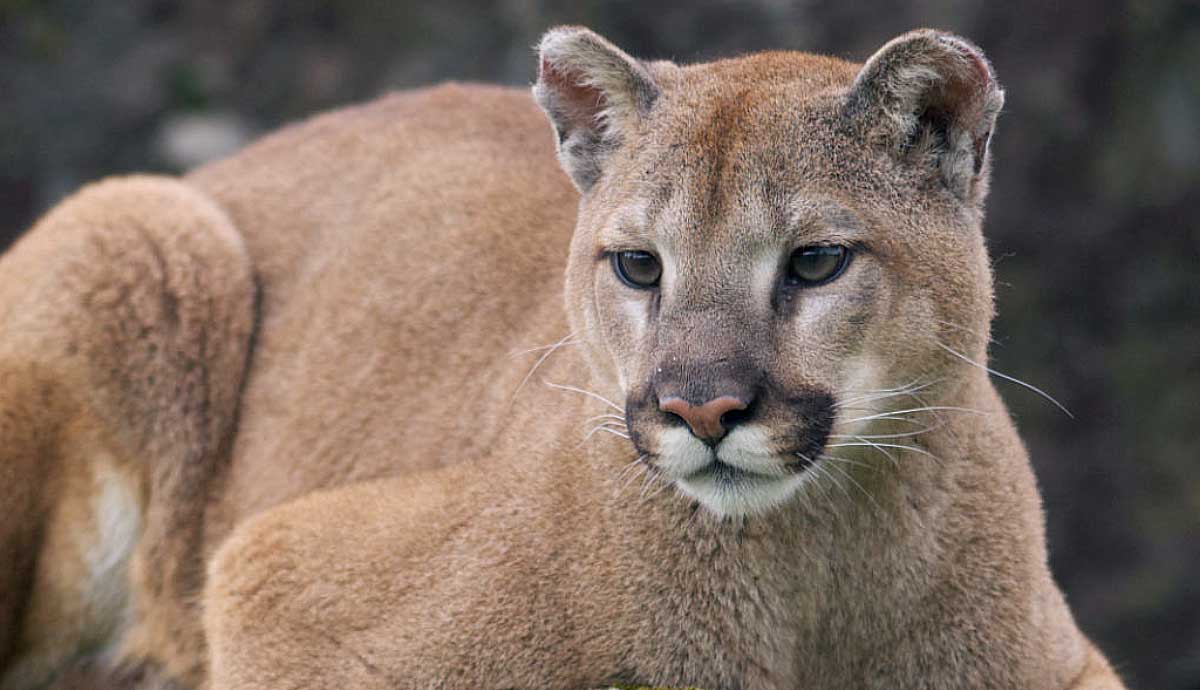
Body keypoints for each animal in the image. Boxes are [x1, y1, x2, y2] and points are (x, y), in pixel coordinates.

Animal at [0, 26, 1123, 690]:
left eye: (814, 261)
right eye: (637, 265)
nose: (700, 409)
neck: (810, 568)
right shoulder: (274, 578)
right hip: (144, 226)